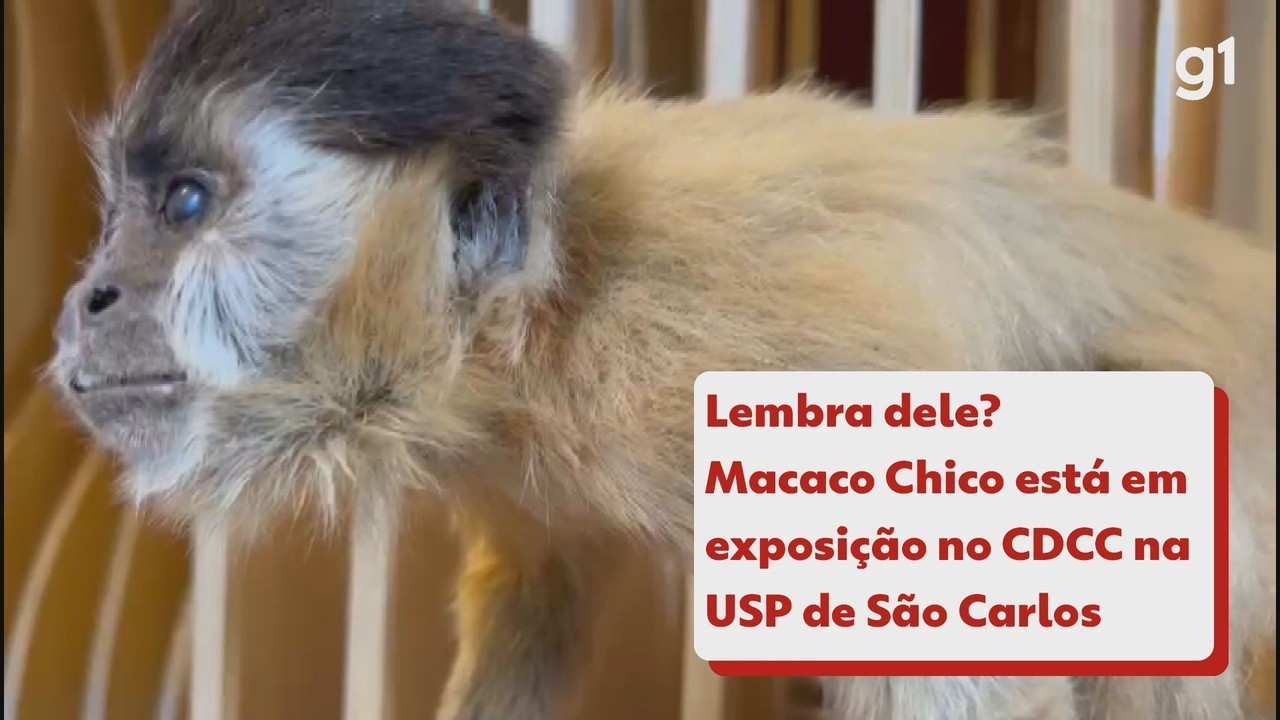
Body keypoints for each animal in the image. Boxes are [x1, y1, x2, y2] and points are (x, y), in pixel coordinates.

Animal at [45, 1, 1274, 719]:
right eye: (117, 217)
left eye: (186, 203)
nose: (86, 295)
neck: (548, 305)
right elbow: (534, 595)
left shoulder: (727, 342)